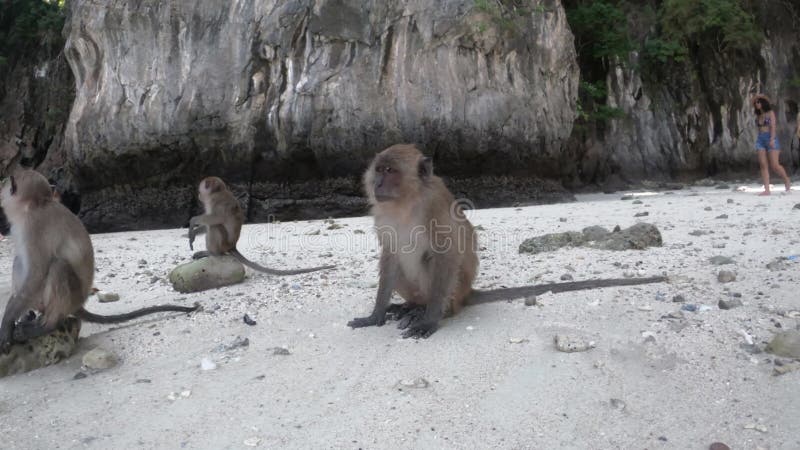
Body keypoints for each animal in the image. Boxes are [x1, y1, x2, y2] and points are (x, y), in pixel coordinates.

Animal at [0, 169, 199, 353]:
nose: (2, 187)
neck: (37, 204)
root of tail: (79, 304)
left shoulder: (34, 225)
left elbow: (37, 273)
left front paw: (7, 323)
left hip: (68, 297)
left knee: (58, 266)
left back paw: (48, 325)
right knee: (19, 261)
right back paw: (31, 316)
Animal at [188, 176, 335, 275]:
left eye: (200, 191)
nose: (199, 196)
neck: (217, 192)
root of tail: (233, 246)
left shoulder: (218, 203)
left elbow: (215, 219)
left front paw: (192, 221)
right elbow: (209, 221)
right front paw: (193, 231)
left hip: (224, 244)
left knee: (215, 227)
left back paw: (213, 253)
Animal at [347, 144, 666, 339]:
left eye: (391, 171)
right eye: (379, 169)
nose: (377, 184)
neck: (405, 203)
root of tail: (467, 294)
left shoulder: (434, 208)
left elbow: (447, 254)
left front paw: (430, 320)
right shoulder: (382, 214)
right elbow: (390, 257)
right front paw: (375, 314)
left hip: (455, 291)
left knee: (432, 263)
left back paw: (428, 310)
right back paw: (411, 305)